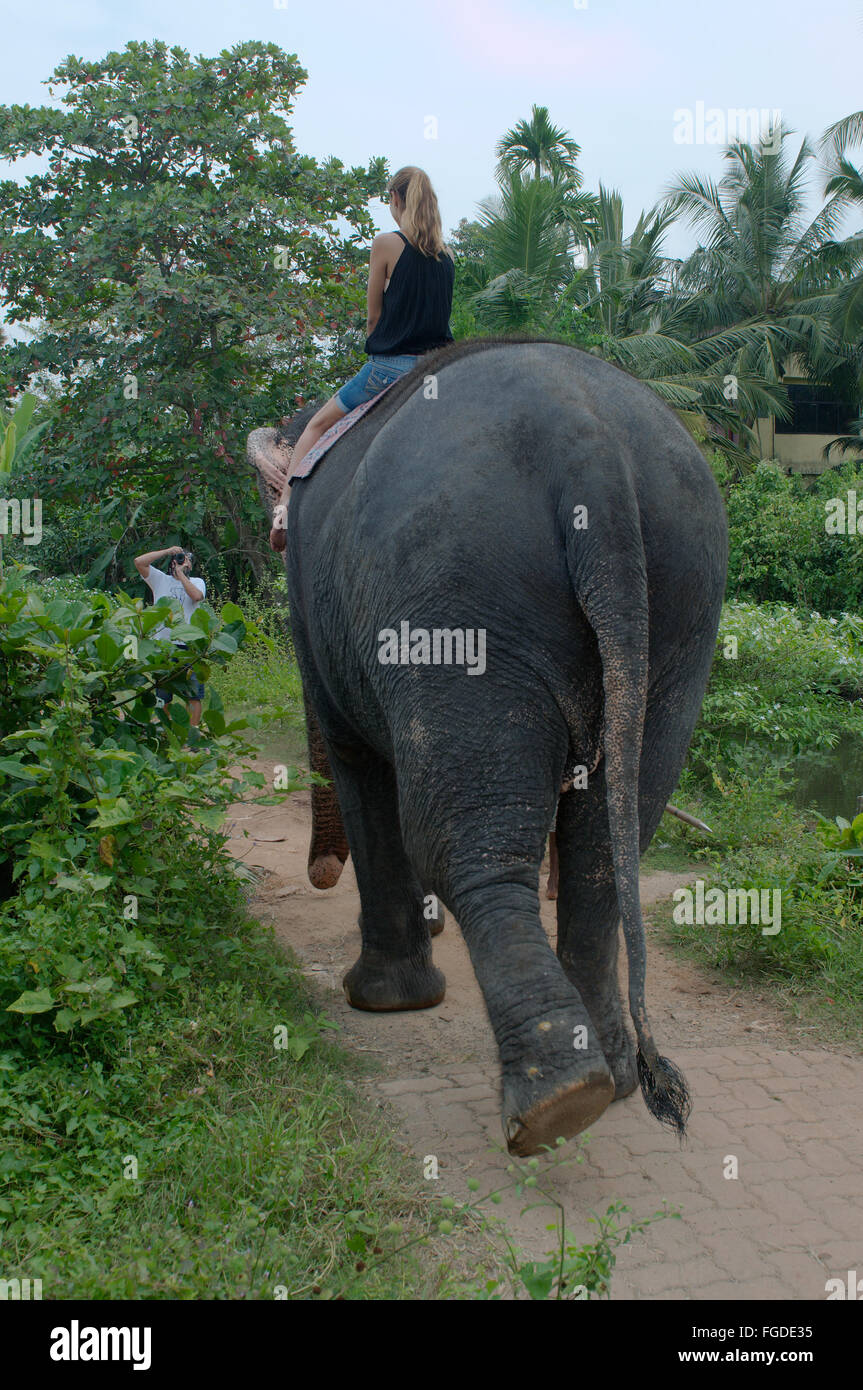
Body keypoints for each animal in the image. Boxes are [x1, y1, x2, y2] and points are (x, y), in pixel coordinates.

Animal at [247, 337, 728, 1156]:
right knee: (608, 840)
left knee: (462, 838)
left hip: (457, 594)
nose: (317, 873)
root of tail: (589, 444)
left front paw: (383, 1000)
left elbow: (360, 761)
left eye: (277, 537)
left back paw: (553, 1102)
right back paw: (612, 1080)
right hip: (682, 609)